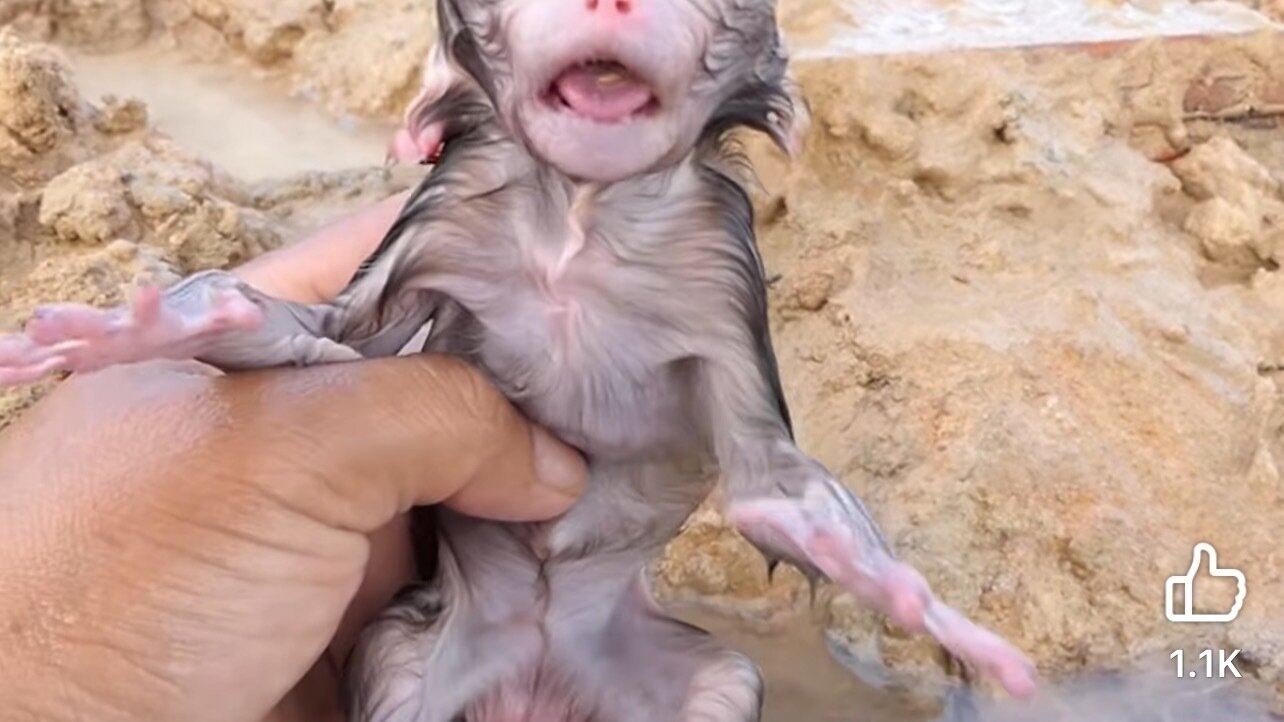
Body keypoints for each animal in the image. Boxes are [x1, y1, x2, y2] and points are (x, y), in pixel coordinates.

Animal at [0, 0, 1040, 718]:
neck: (578, 217)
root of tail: (536, 675)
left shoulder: (722, 272)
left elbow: (765, 487)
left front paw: (906, 597)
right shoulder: (446, 218)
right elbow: (331, 335)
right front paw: (139, 329)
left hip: (680, 678)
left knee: (724, 679)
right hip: (413, 658)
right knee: (397, 668)